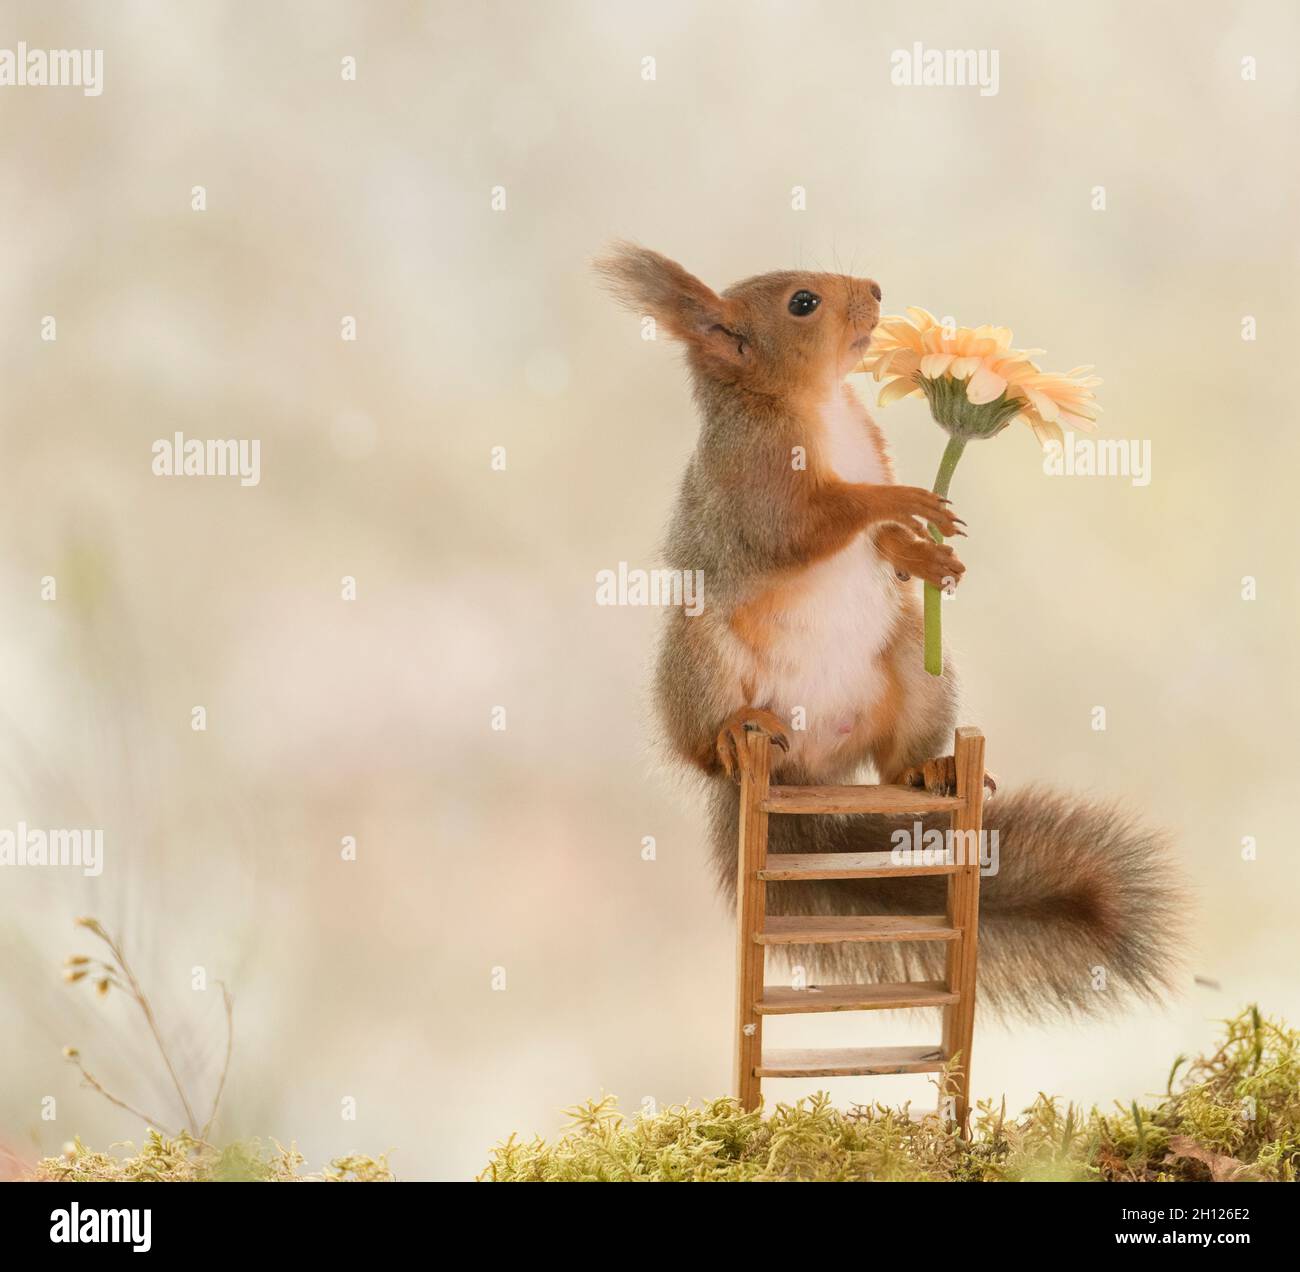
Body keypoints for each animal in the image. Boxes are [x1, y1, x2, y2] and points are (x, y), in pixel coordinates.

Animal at [597, 242, 1186, 1019]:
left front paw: (925, 555)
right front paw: (903, 502)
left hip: (912, 666)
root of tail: (805, 772)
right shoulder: (755, 478)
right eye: (803, 303)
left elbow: (877, 543)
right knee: (701, 744)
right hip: (700, 655)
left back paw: (927, 768)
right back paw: (730, 730)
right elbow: (806, 524)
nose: (875, 288)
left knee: (893, 762)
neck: (819, 401)